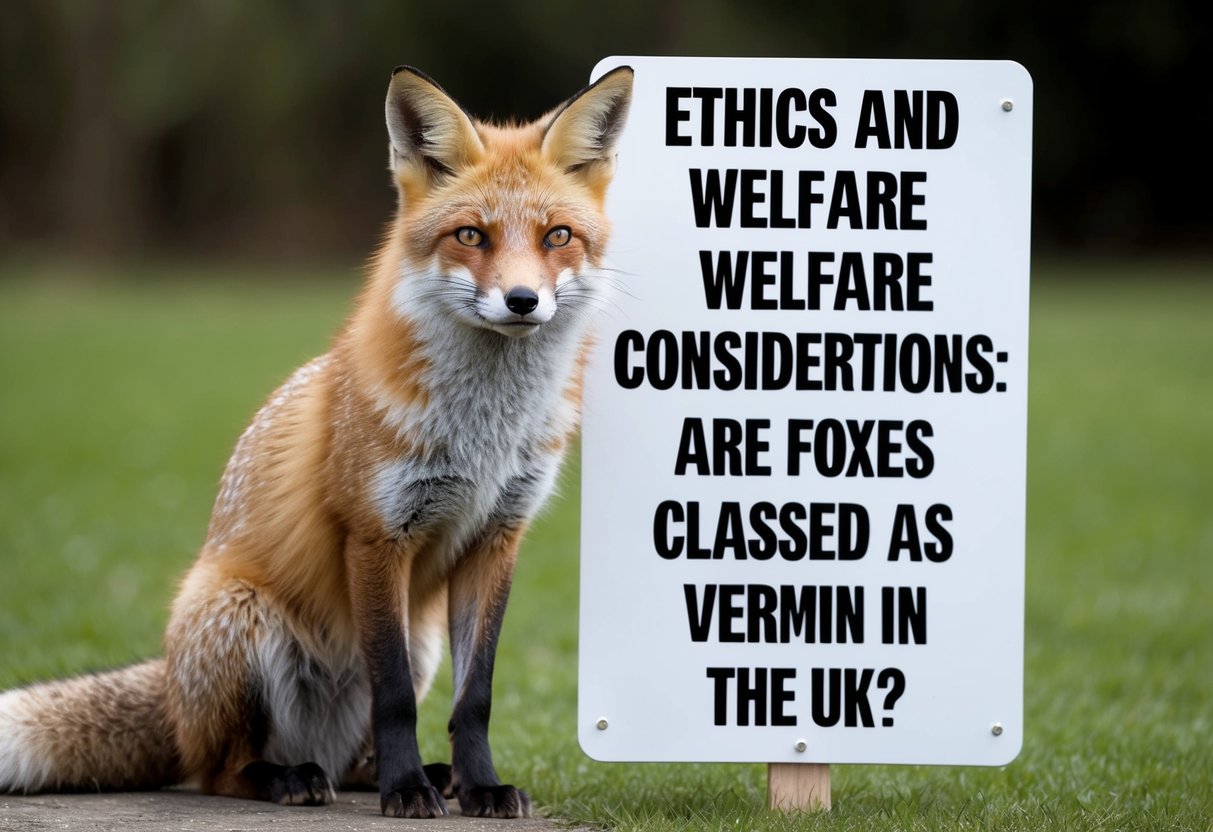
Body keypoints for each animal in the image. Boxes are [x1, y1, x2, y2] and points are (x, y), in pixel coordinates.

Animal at [0, 64, 633, 819]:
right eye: (471, 236)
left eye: (557, 236)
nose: (521, 301)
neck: (485, 432)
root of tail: (173, 692)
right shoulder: (375, 534)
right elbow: (393, 697)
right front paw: (406, 792)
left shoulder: (497, 538)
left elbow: (474, 699)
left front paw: (479, 786)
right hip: (238, 621)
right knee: (218, 769)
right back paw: (290, 778)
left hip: (422, 642)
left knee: (352, 753)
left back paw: (415, 774)